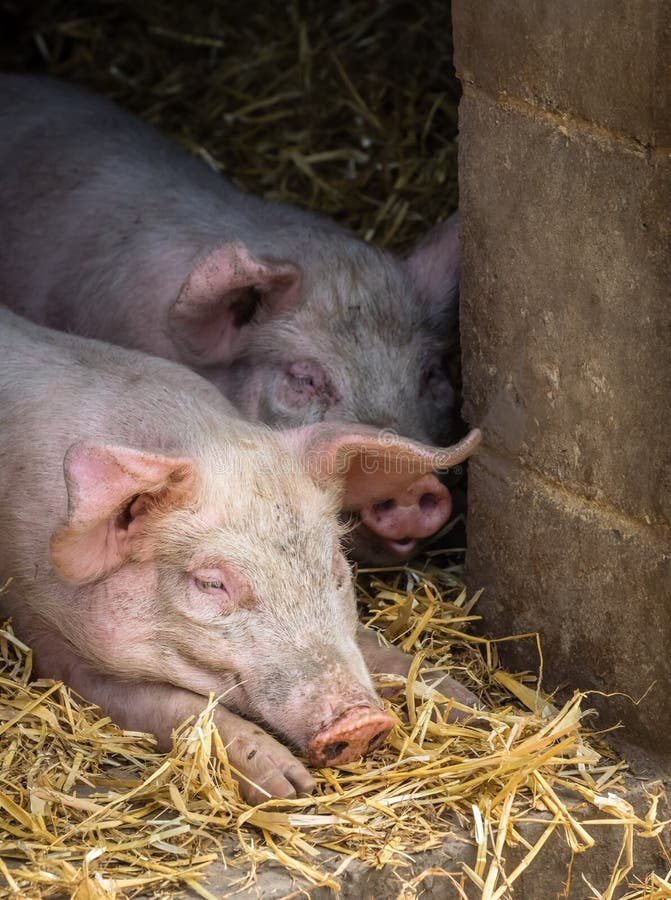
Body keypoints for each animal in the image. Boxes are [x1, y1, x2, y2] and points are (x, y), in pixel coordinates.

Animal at [0, 308, 480, 804]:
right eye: (212, 583)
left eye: (333, 565)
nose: (361, 722)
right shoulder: (47, 639)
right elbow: (179, 708)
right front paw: (289, 787)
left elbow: (368, 643)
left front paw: (467, 704)